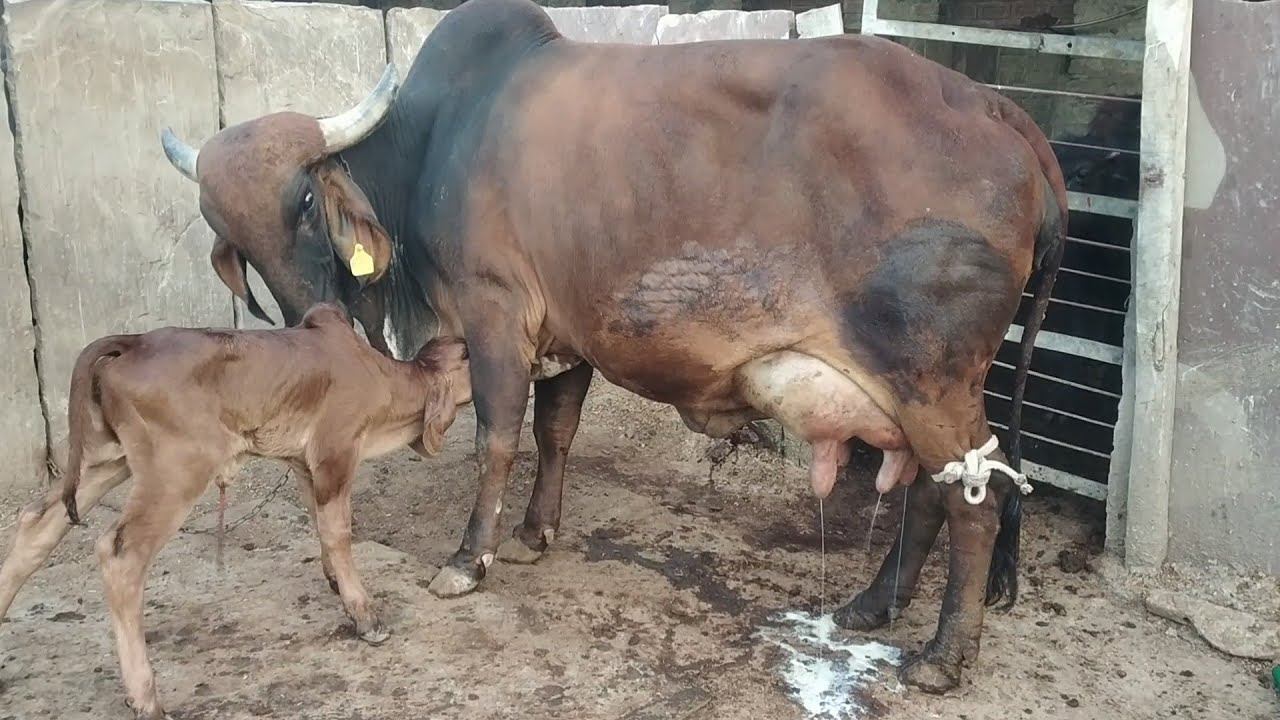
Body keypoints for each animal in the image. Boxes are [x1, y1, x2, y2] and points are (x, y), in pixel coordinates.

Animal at [0, 304, 471, 720]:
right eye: (468, 356)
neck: (383, 381)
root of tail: (133, 343)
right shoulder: (335, 454)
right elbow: (339, 532)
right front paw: (364, 615)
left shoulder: (304, 463)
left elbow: (323, 526)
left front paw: (336, 582)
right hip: (179, 469)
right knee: (120, 554)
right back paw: (145, 698)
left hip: (107, 459)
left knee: (37, 522)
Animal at [156, 0, 1066, 693]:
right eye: (231, 237)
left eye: (306, 202)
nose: (311, 316)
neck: (438, 140)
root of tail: (1003, 112)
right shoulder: (566, 335)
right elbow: (556, 429)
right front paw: (536, 532)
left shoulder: (495, 315)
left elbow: (497, 437)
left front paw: (470, 557)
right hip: (911, 392)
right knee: (928, 496)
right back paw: (873, 606)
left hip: (930, 379)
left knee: (972, 502)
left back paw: (942, 656)